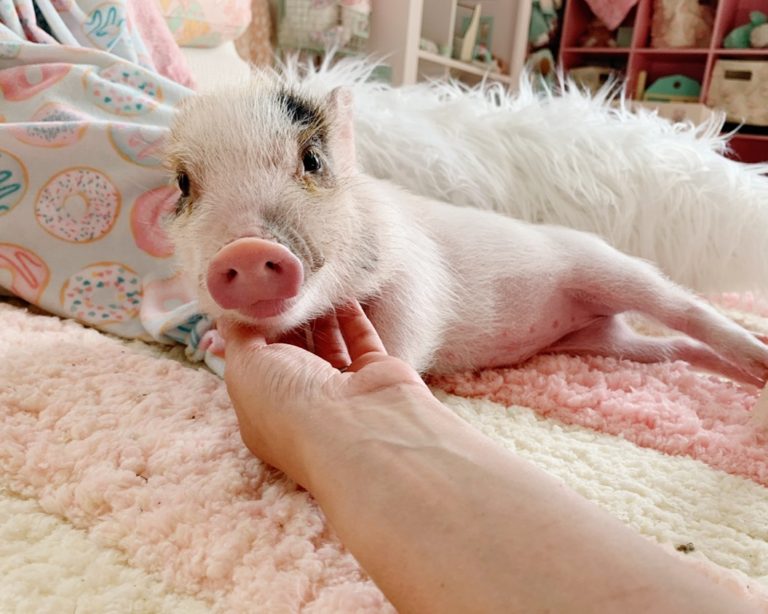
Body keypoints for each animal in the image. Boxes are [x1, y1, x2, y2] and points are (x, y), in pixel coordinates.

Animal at [164, 71, 768, 386]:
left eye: (312, 160)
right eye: (183, 186)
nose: (243, 249)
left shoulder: (414, 273)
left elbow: (407, 332)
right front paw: (212, 342)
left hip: (609, 267)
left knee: (687, 311)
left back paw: (757, 359)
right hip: (603, 344)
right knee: (671, 350)